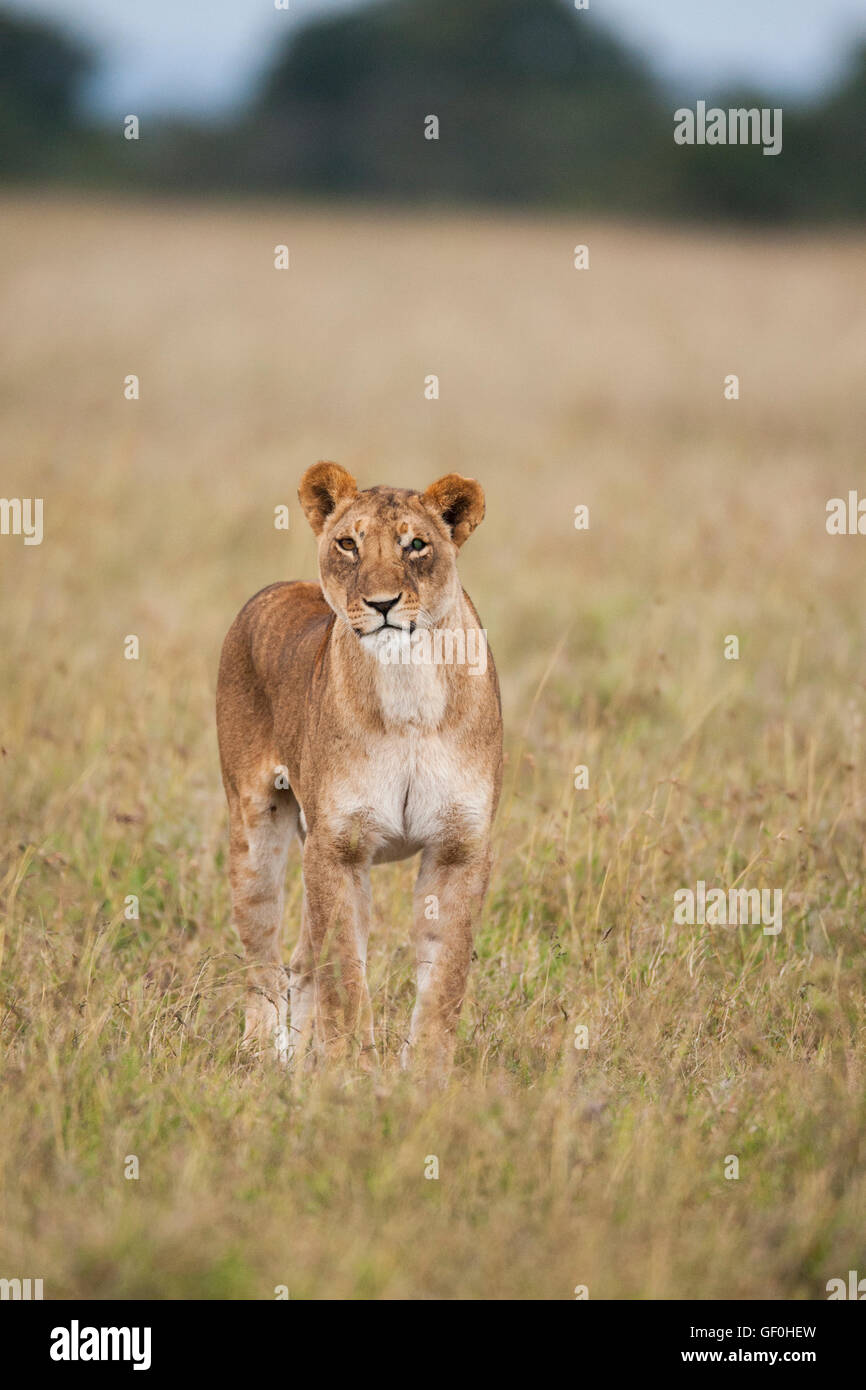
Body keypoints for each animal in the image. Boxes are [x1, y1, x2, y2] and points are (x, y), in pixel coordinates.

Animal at [216, 462, 503, 1074]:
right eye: (349, 543)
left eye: (415, 545)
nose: (382, 603)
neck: (409, 687)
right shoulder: (339, 848)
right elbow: (345, 979)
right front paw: (355, 1075)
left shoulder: (460, 847)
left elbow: (444, 979)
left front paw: (425, 1078)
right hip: (255, 829)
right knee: (264, 961)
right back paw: (262, 1057)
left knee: (300, 961)